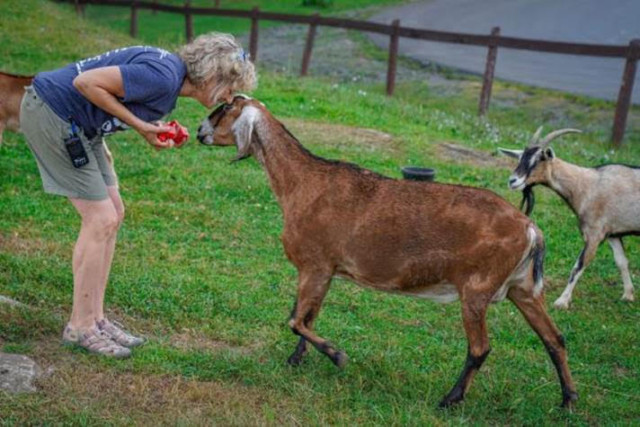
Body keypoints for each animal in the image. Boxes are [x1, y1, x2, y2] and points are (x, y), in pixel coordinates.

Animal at [197, 96, 578, 408]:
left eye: (224, 109)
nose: (200, 131)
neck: (304, 183)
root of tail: (530, 228)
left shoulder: (316, 264)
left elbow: (295, 320)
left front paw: (337, 355)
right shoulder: (322, 270)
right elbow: (304, 317)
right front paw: (296, 361)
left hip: (477, 288)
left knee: (480, 348)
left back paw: (449, 400)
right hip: (522, 288)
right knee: (554, 338)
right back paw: (568, 400)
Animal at [500, 127, 639, 309]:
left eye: (539, 158)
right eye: (521, 157)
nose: (513, 181)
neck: (588, 185)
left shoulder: (594, 234)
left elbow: (578, 266)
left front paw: (562, 301)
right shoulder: (613, 233)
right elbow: (621, 262)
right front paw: (628, 295)